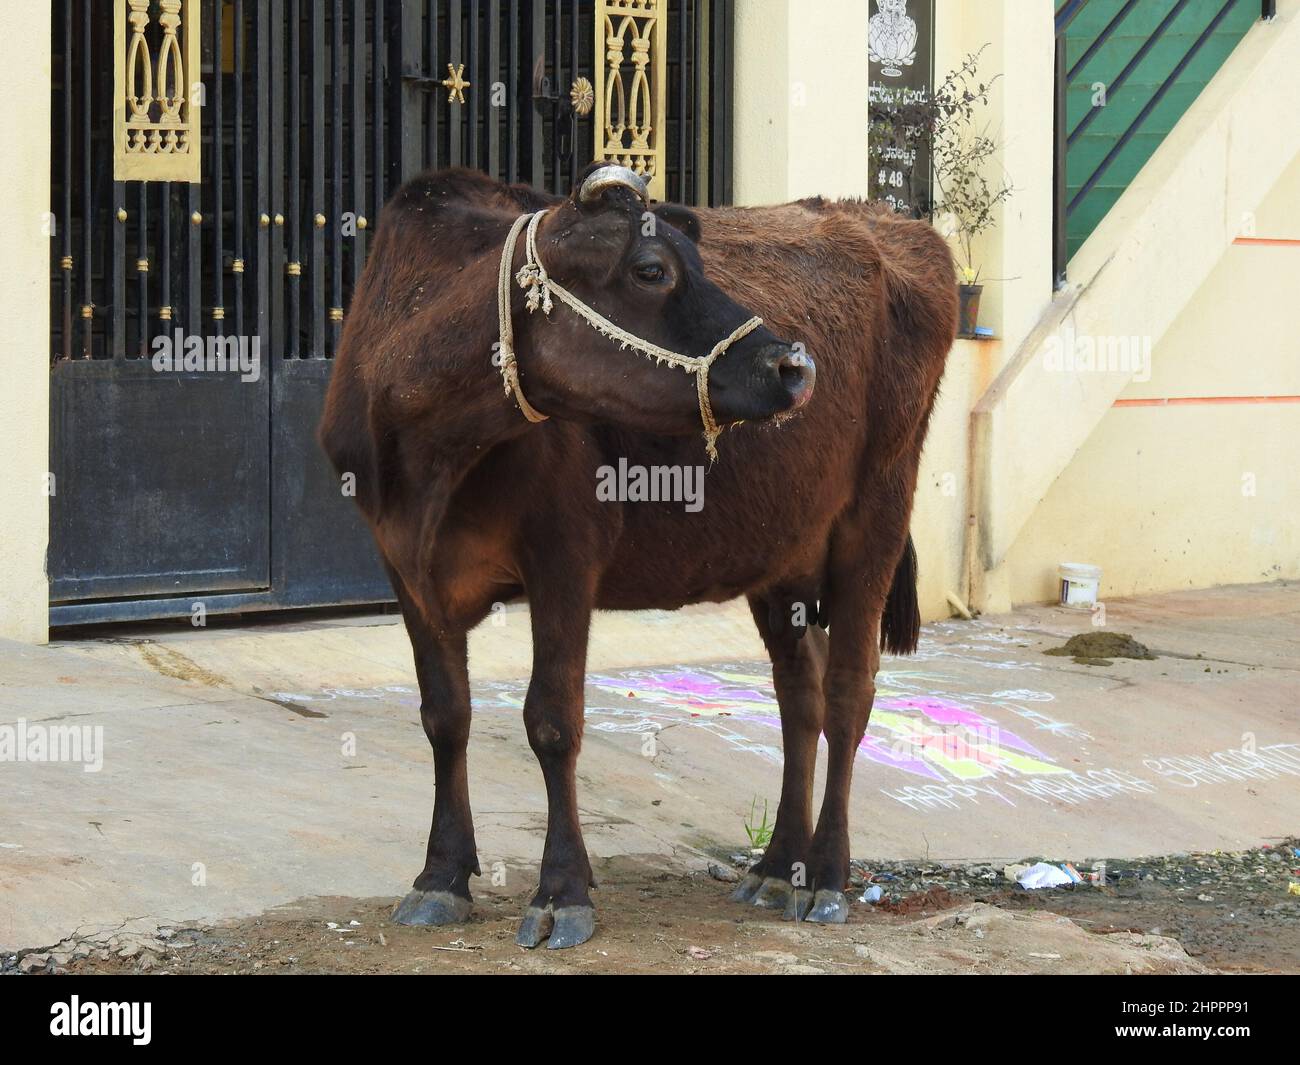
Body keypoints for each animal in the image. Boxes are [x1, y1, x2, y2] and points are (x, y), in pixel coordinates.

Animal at [320, 162, 956, 949]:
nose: (794, 364)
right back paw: (780, 867)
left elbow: (552, 720)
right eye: (652, 269)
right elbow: (445, 716)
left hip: (877, 513)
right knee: (797, 695)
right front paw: (440, 876)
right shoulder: (404, 566)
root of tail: (889, 222)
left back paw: (829, 877)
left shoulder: (564, 554)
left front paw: (562, 892)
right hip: (780, 554)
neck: (433, 451)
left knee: (847, 693)